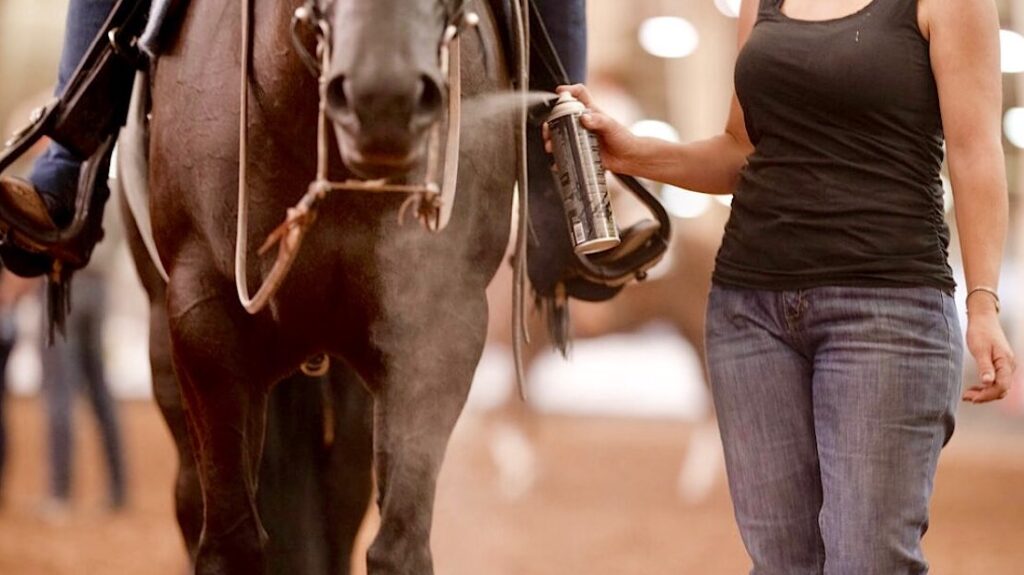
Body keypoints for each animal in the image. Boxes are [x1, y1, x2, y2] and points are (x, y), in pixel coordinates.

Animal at [146, 0, 515, 572]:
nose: (383, 98)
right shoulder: (203, 318)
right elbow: (232, 542)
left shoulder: (438, 331)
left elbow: (398, 547)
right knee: (190, 496)